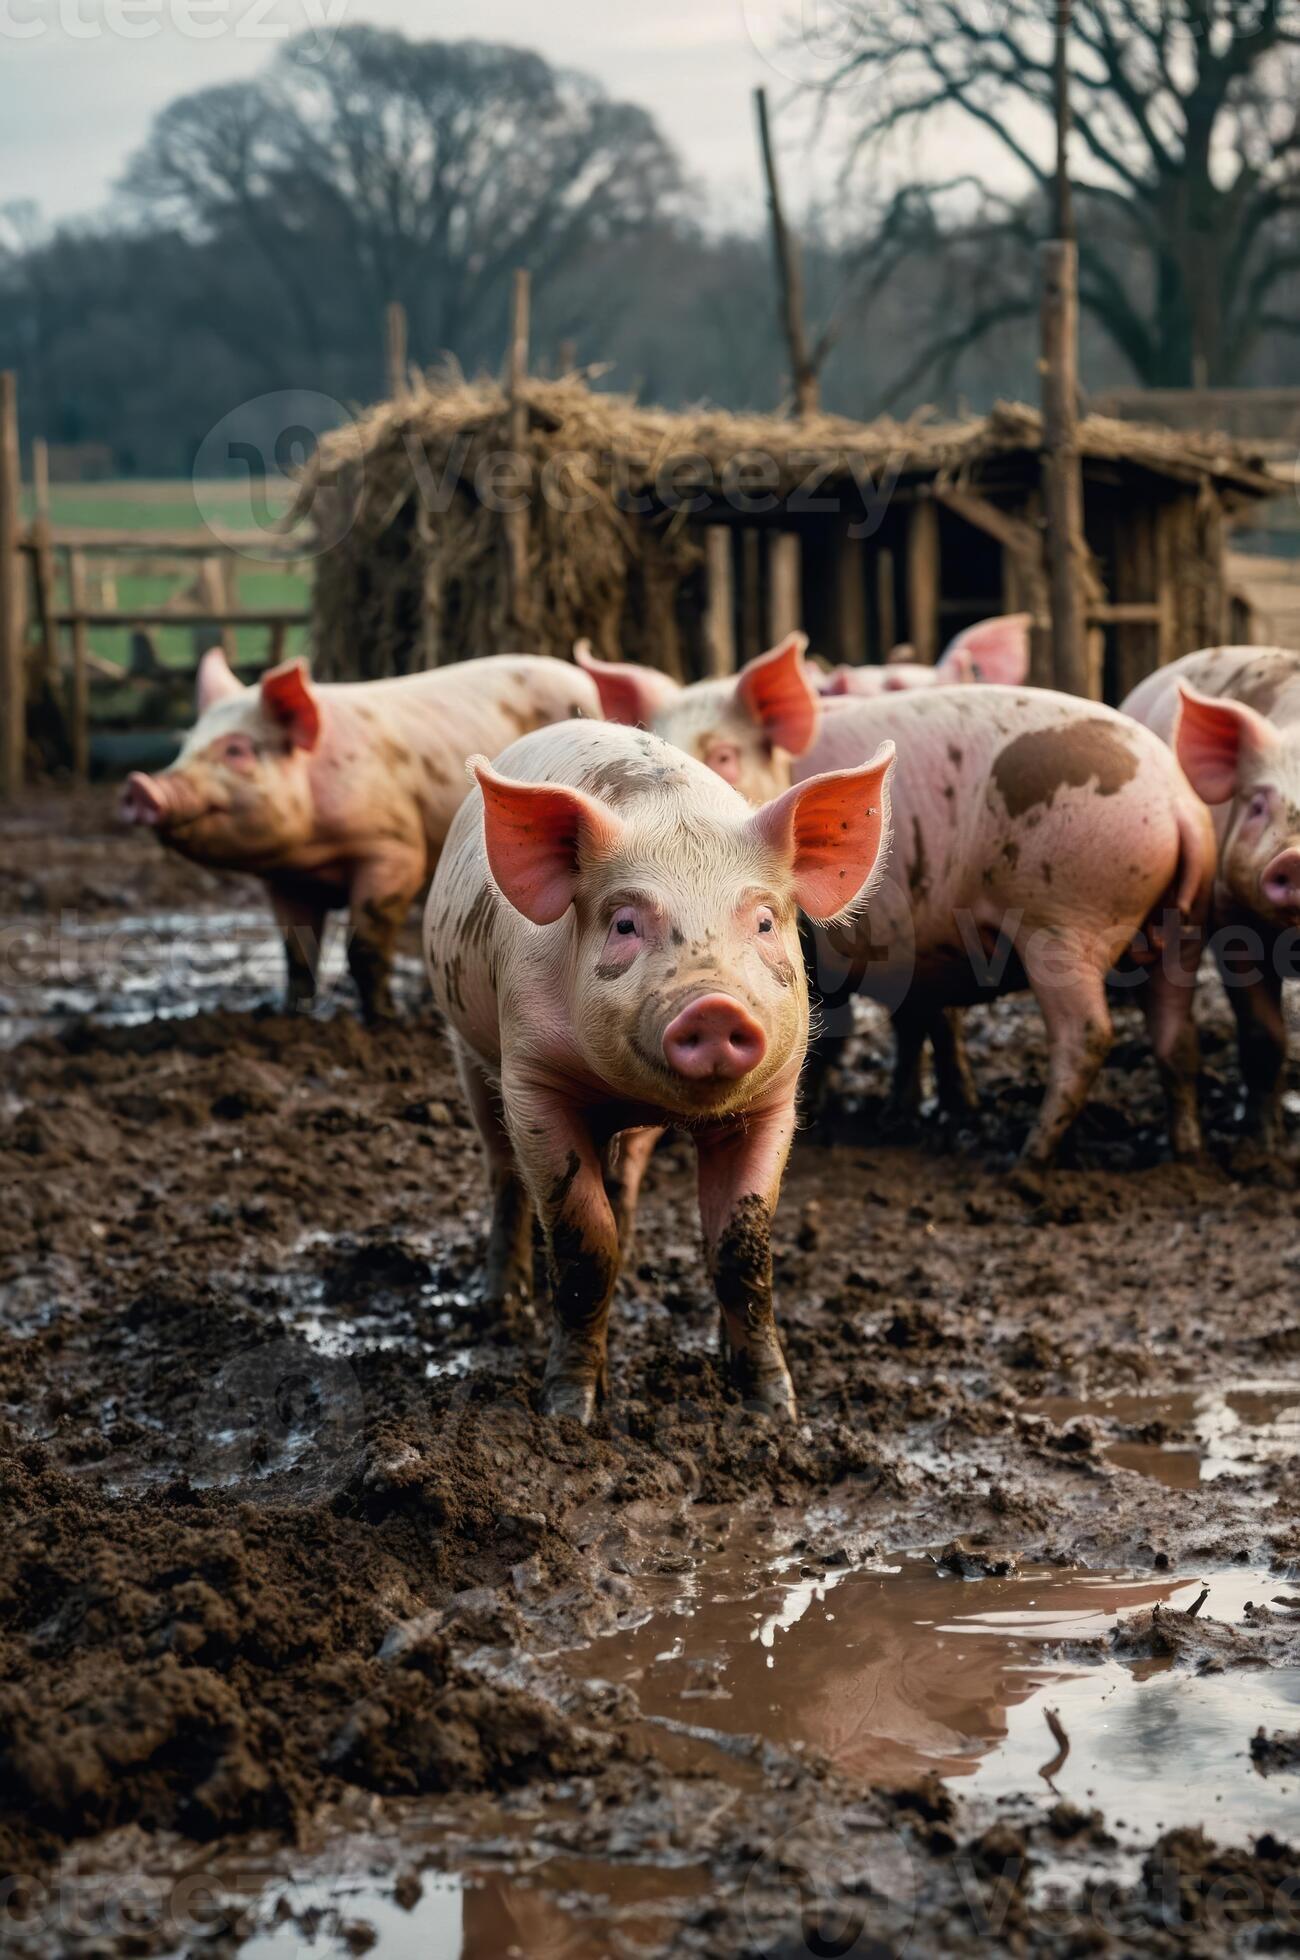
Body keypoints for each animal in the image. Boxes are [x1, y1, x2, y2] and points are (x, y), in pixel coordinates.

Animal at [120, 649, 599, 1020]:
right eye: (185, 744)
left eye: (236, 750)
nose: (141, 786)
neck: (313, 850)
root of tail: (581, 680)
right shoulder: (285, 879)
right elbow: (296, 949)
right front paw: (288, 1014)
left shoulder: (395, 850)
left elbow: (365, 944)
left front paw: (386, 1019)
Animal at [424, 717, 894, 1421]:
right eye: (624, 923)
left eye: (763, 921)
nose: (714, 1005)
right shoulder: (532, 1081)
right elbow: (583, 1245)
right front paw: (569, 1413)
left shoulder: (775, 1097)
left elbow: (741, 1246)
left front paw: (777, 1413)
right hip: (466, 1050)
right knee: (504, 1175)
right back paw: (502, 1310)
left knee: (621, 1182)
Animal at [579, 638, 1215, 1164]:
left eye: (725, 755)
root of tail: (1178, 800)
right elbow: (920, 1023)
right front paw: (908, 1113)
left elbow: (841, 1027)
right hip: (1178, 929)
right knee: (1176, 1034)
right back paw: (1183, 1152)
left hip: (1063, 921)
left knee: (1088, 1033)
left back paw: (1026, 1161)